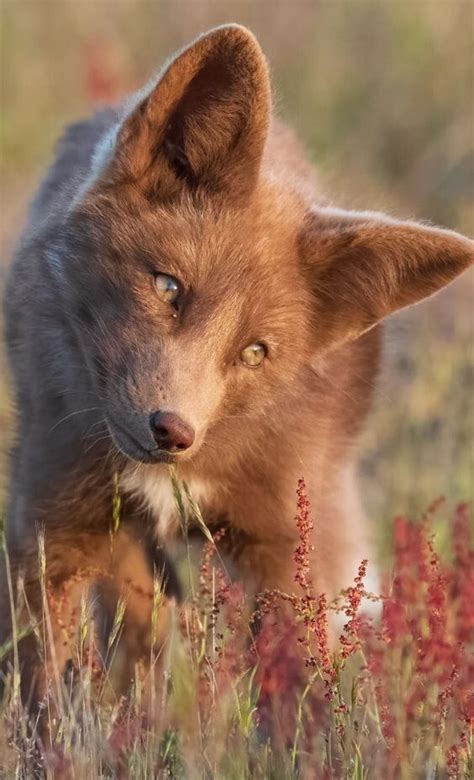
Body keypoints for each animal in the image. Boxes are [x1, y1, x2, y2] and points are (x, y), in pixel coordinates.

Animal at [1, 23, 473, 731]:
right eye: (168, 288)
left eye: (255, 353)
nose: (173, 431)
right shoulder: (54, 519)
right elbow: (39, 686)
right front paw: (54, 742)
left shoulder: (282, 545)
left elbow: (296, 699)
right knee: (137, 649)